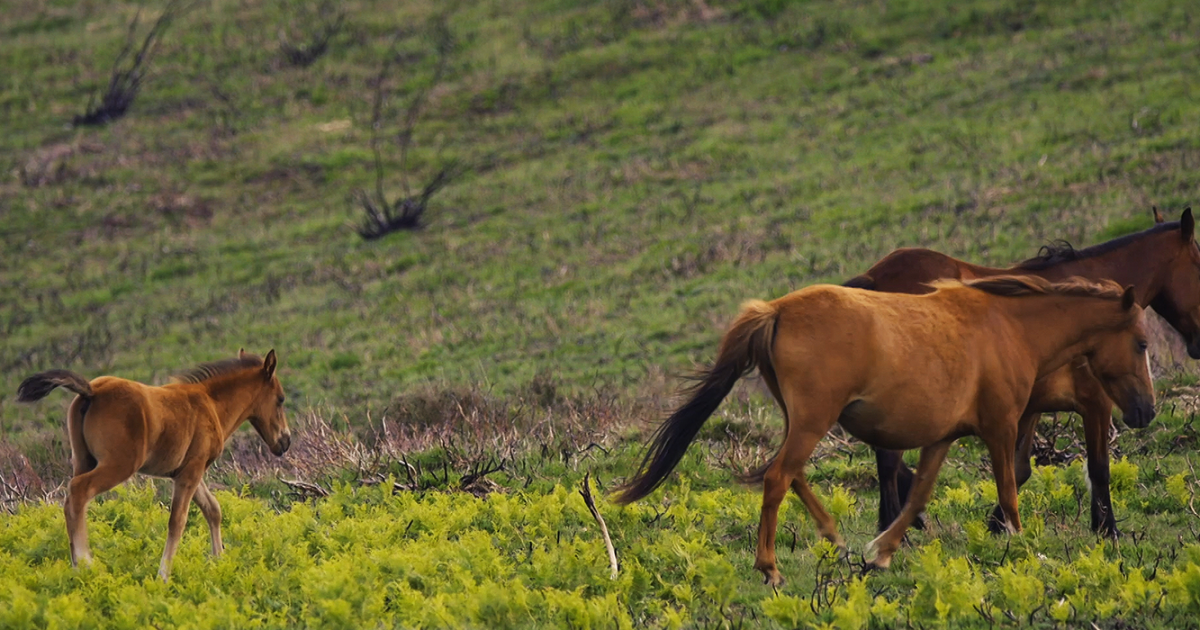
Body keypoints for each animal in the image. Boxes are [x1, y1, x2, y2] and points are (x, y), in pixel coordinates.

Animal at [16, 349, 291, 582]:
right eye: (280, 399)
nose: (285, 442)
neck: (210, 403)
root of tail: (91, 390)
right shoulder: (191, 471)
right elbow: (177, 521)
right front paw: (163, 575)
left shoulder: (187, 470)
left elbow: (213, 509)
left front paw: (219, 560)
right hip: (119, 464)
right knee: (79, 491)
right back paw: (85, 563)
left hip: (83, 460)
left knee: (71, 501)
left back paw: (76, 564)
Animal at [614, 276, 1154, 584]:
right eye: (1144, 343)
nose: (1145, 410)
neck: (1011, 328)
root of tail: (776, 309)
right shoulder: (1001, 427)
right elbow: (1008, 493)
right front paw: (1022, 549)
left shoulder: (943, 437)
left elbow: (918, 497)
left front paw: (881, 553)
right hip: (813, 420)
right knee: (777, 477)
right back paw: (769, 567)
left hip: (801, 419)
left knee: (790, 474)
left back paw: (834, 538)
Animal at [849, 207, 1199, 536]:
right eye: (1142, 344)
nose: (1145, 411)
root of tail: (874, 278)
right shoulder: (1095, 402)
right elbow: (1099, 467)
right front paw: (1107, 528)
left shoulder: (1031, 406)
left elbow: (1017, 470)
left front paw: (996, 523)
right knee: (888, 459)